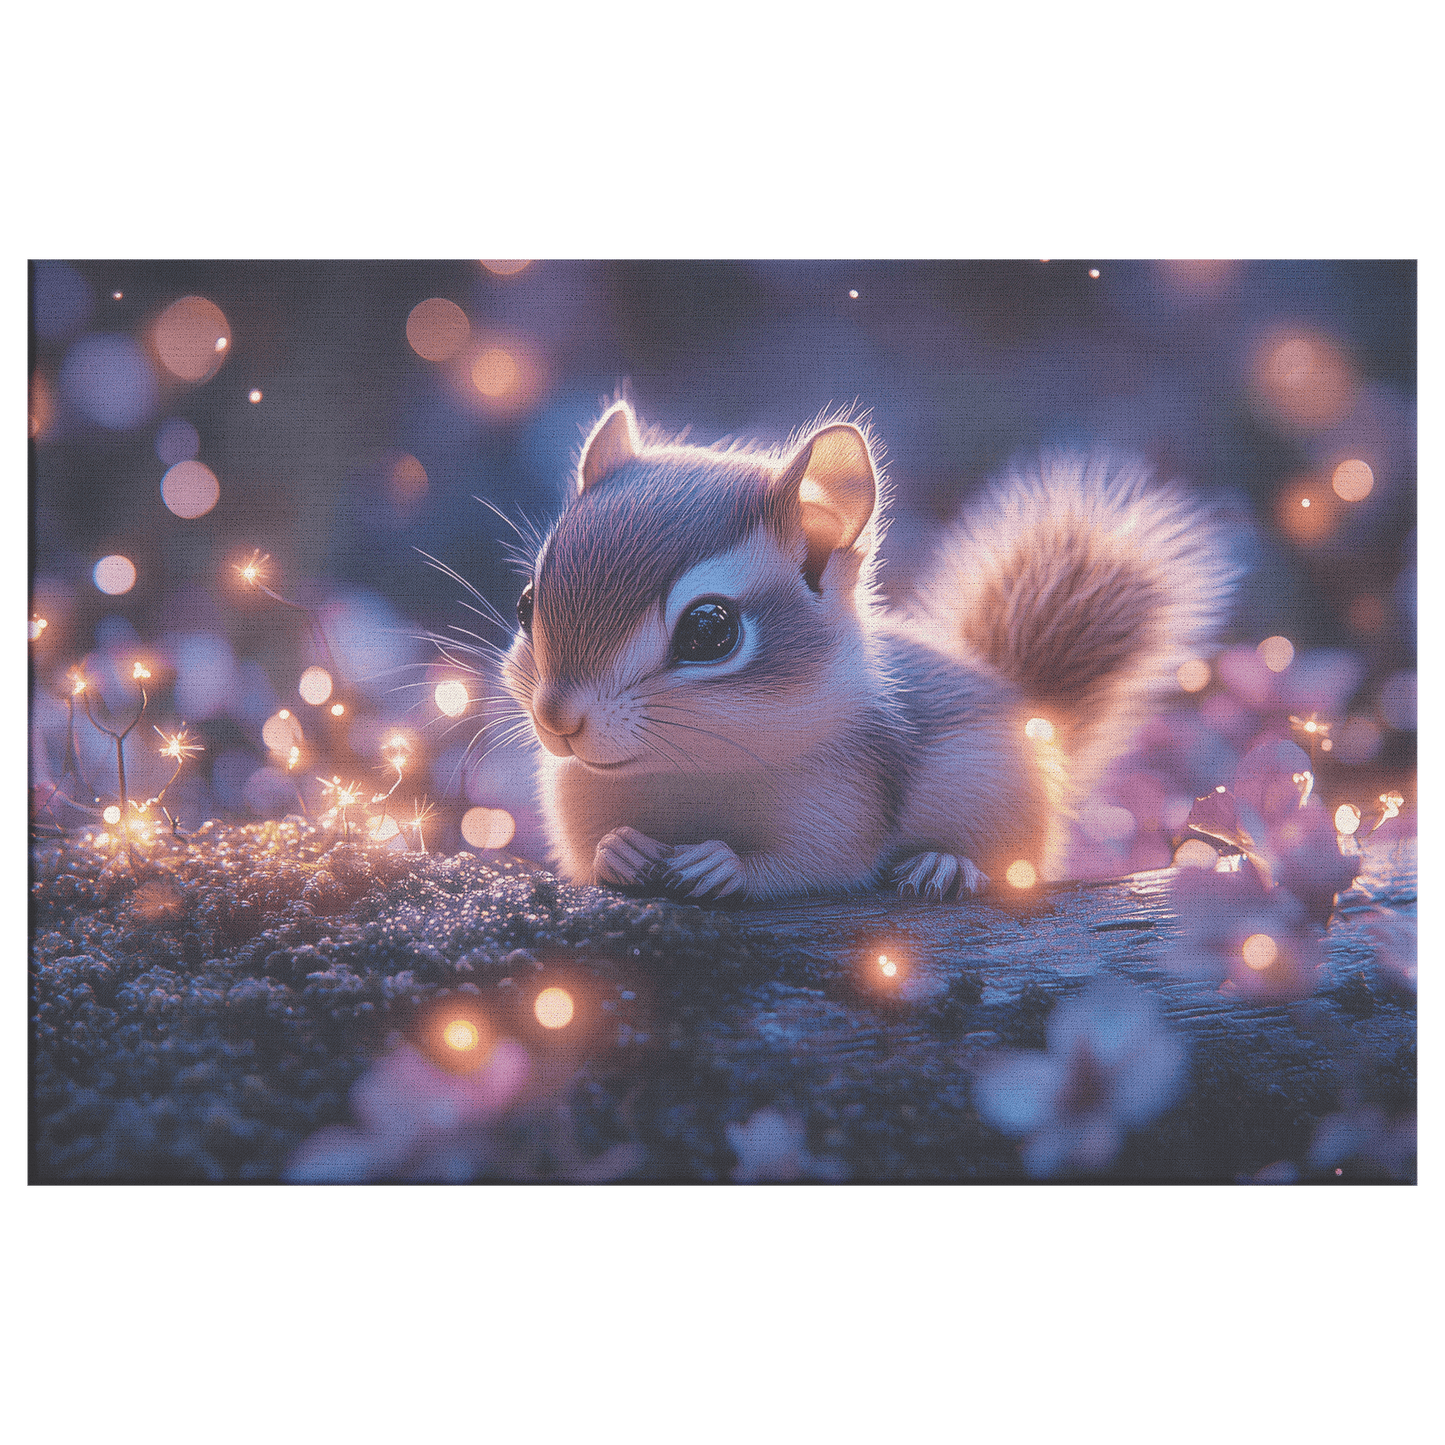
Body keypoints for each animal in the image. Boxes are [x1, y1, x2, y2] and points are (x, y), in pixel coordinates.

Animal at [498, 400, 1238, 902]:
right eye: (526, 602)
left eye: (709, 630)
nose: (557, 719)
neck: (682, 770)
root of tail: (1035, 714)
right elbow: (588, 855)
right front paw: (619, 850)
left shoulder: (845, 804)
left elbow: (816, 865)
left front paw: (722, 862)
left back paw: (946, 864)